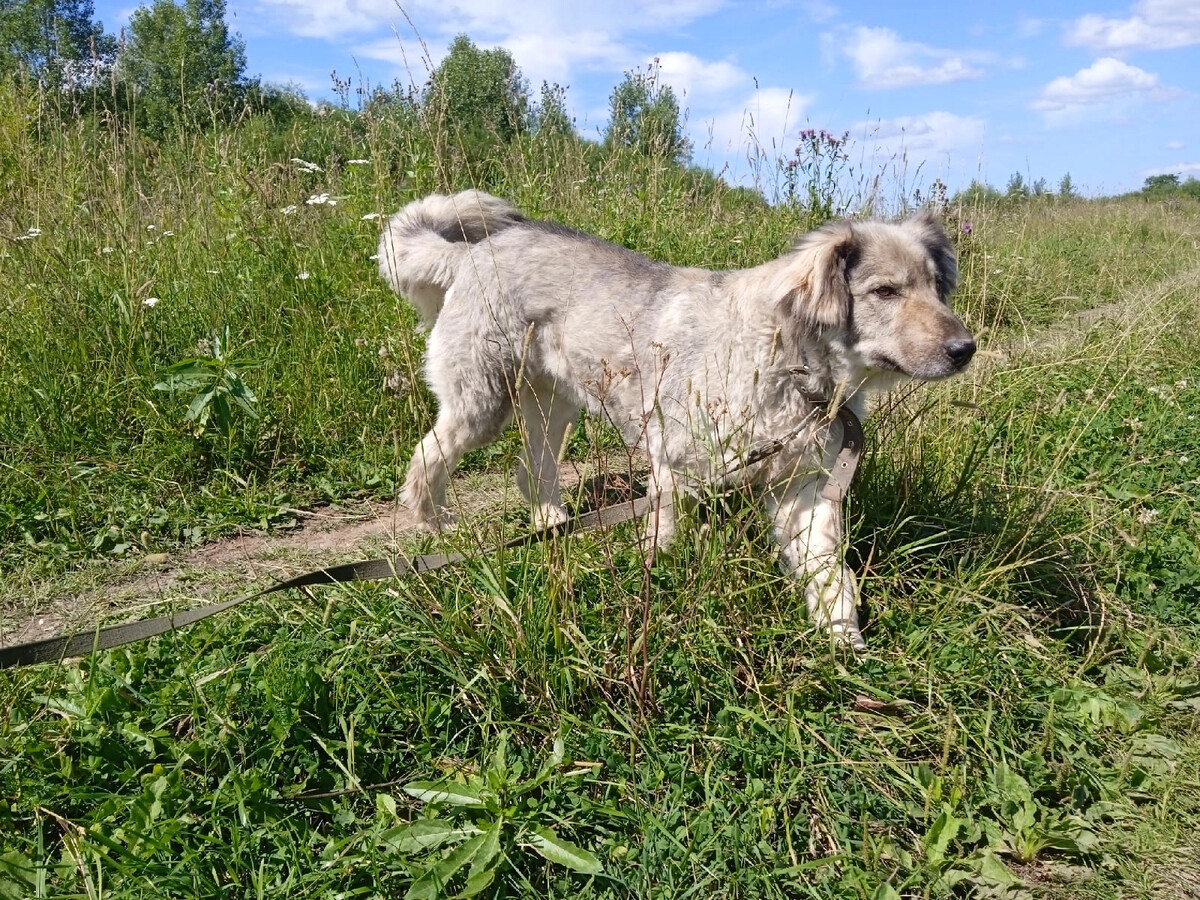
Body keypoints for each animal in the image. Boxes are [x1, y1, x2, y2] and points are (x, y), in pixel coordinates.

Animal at [376, 194, 974, 652]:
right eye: (886, 292)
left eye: (935, 288)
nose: (965, 349)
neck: (791, 363)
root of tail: (470, 253)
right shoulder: (675, 470)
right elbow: (662, 546)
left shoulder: (803, 492)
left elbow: (831, 576)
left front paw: (843, 645)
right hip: (482, 403)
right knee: (428, 457)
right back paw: (435, 528)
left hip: (554, 404)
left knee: (531, 469)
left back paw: (553, 526)